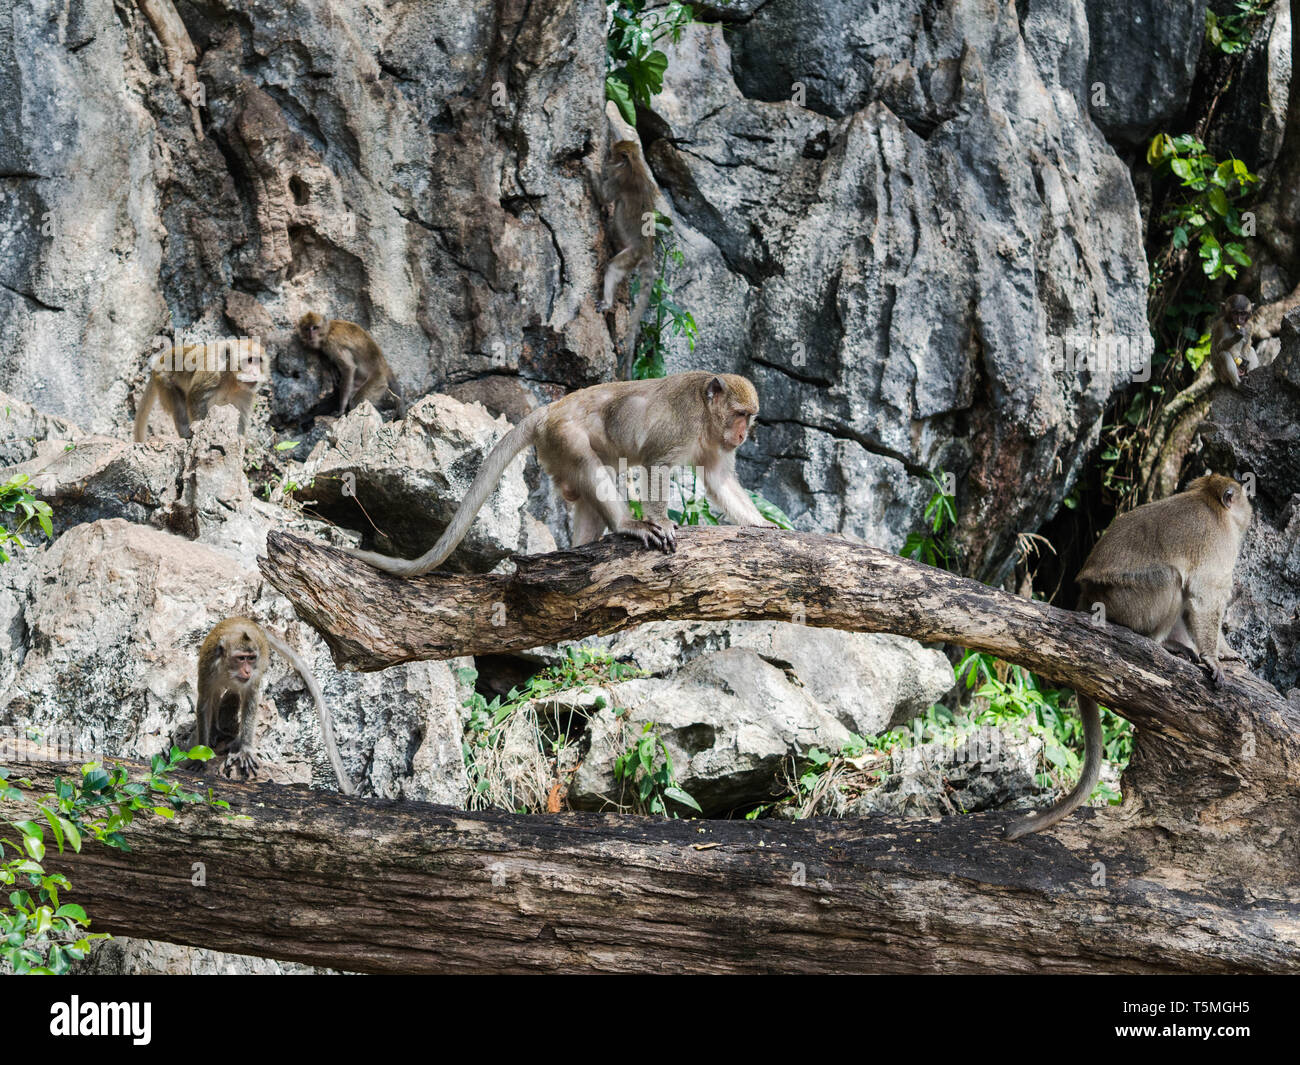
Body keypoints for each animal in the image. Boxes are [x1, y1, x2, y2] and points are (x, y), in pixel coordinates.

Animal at [133, 339, 266, 442]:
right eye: (249, 360)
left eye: (258, 361)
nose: (255, 374)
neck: (231, 379)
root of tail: (160, 360)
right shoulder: (212, 371)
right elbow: (195, 397)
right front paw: (197, 425)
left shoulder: (246, 392)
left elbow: (240, 419)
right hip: (163, 378)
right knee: (179, 405)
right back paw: (186, 434)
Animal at [195, 617, 354, 795]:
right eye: (241, 658)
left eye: (251, 658)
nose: (247, 671)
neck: (227, 670)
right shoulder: (208, 668)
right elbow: (204, 703)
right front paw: (200, 755)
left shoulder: (254, 674)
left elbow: (250, 701)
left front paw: (245, 749)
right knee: (217, 695)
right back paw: (215, 730)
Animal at [343, 372, 773, 578]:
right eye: (739, 414)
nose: (742, 434)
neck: (707, 417)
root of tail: (550, 409)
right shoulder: (682, 425)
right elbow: (656, 467)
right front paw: (661, 522)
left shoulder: (716, 445)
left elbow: (718, 481)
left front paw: (765, 527)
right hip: (564, 435)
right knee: (590, 467)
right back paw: (626, 526)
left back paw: (580, 554)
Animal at [1006, 474, 1251, 840]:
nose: (1251, 511)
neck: (1208, 501)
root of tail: (1087, 594)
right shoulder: (1218, 546)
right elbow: (1203, 596)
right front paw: (1211, 657)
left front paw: (1226, 653)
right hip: (1127, 599)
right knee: (1170, 578)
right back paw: (1162, 644)